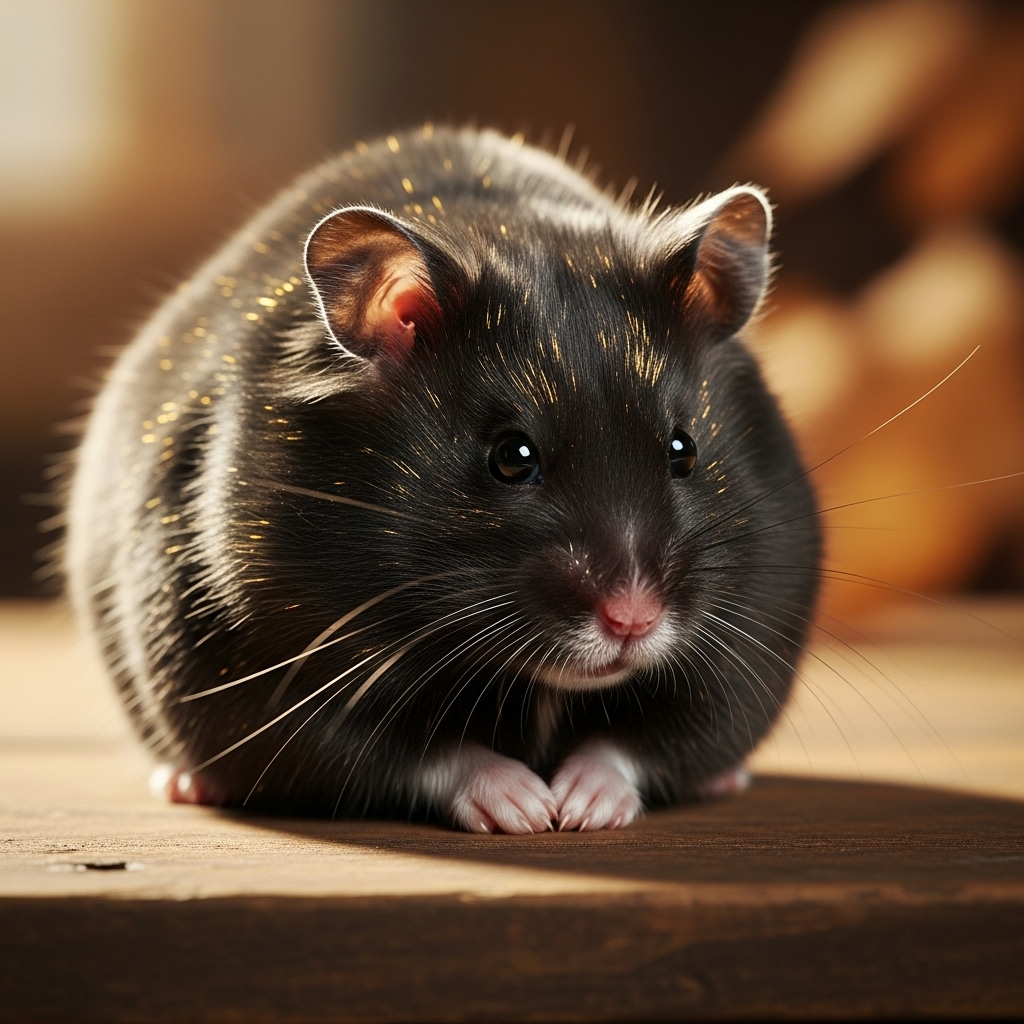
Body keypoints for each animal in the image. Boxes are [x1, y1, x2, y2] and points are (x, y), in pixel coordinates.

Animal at [66, 126, 819, 833]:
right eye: (511, 457)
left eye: (683, 450)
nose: (633, 619)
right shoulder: (263, 666)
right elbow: (416, 757)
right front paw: (526, 809)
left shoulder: (748, 645)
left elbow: (644, 743)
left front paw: (581, 807)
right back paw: (183, 783)